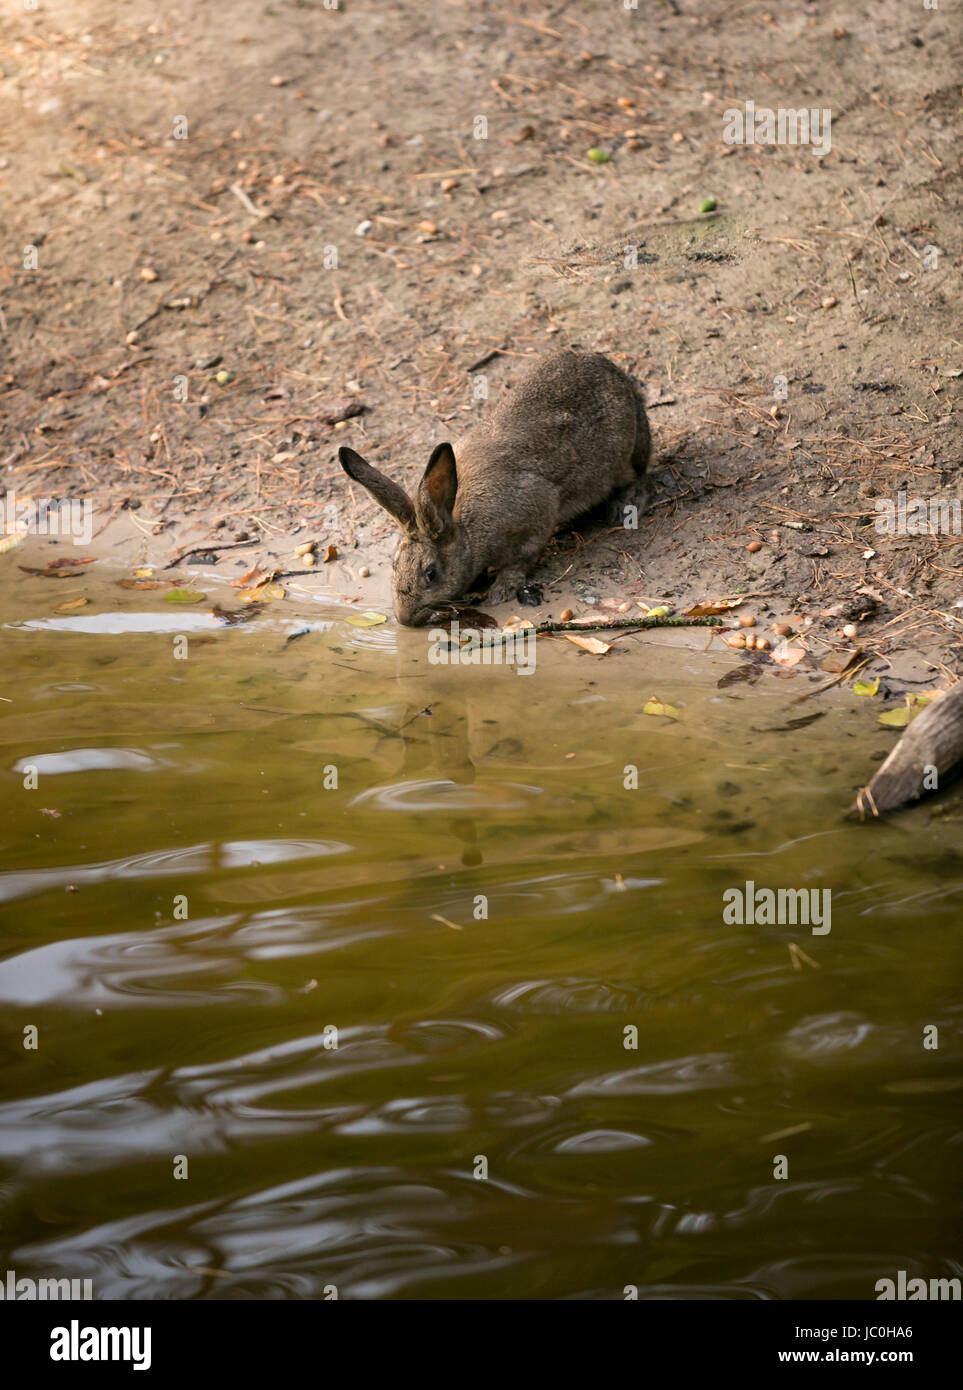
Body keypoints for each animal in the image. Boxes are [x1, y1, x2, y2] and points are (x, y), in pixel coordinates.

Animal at [338, 349, 651, 626]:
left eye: (430, 574)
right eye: (394, 565)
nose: (404, 619)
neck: (465, 531)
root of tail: (619, 377)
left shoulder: (536, 511)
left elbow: (522, 559)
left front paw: (501, 589)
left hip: (623, 456)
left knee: (635, 478)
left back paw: (622, 508)